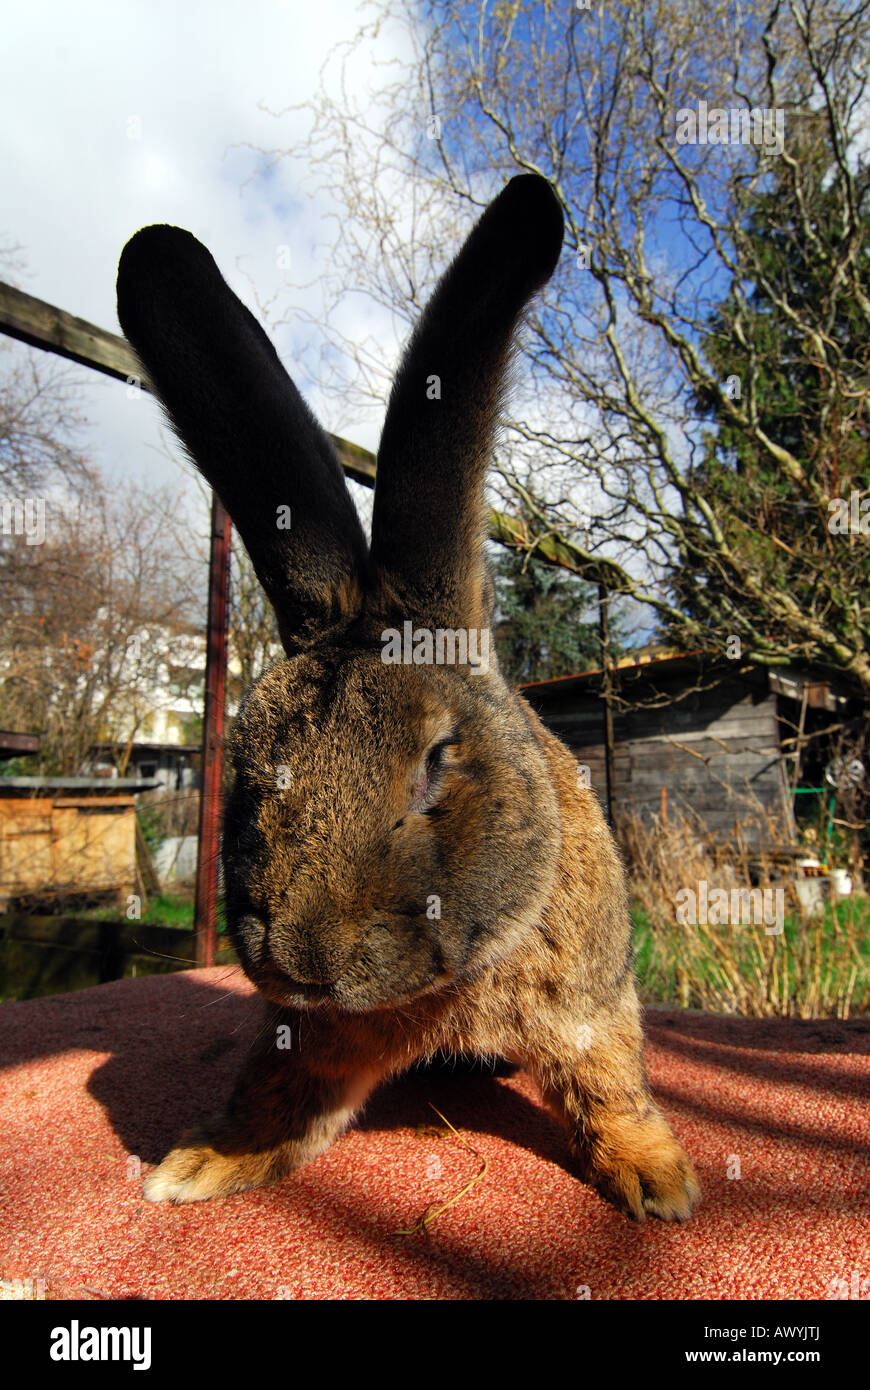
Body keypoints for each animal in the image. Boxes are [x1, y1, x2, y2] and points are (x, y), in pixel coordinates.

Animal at [116, 173, 700, 1223]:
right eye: (249, 776)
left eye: (436, 765)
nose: (302, 958)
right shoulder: (311, 1039)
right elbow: (279, 1096)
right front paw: (200, 1165)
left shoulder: (591, 1009)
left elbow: (609, 1085)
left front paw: (657, 1185)